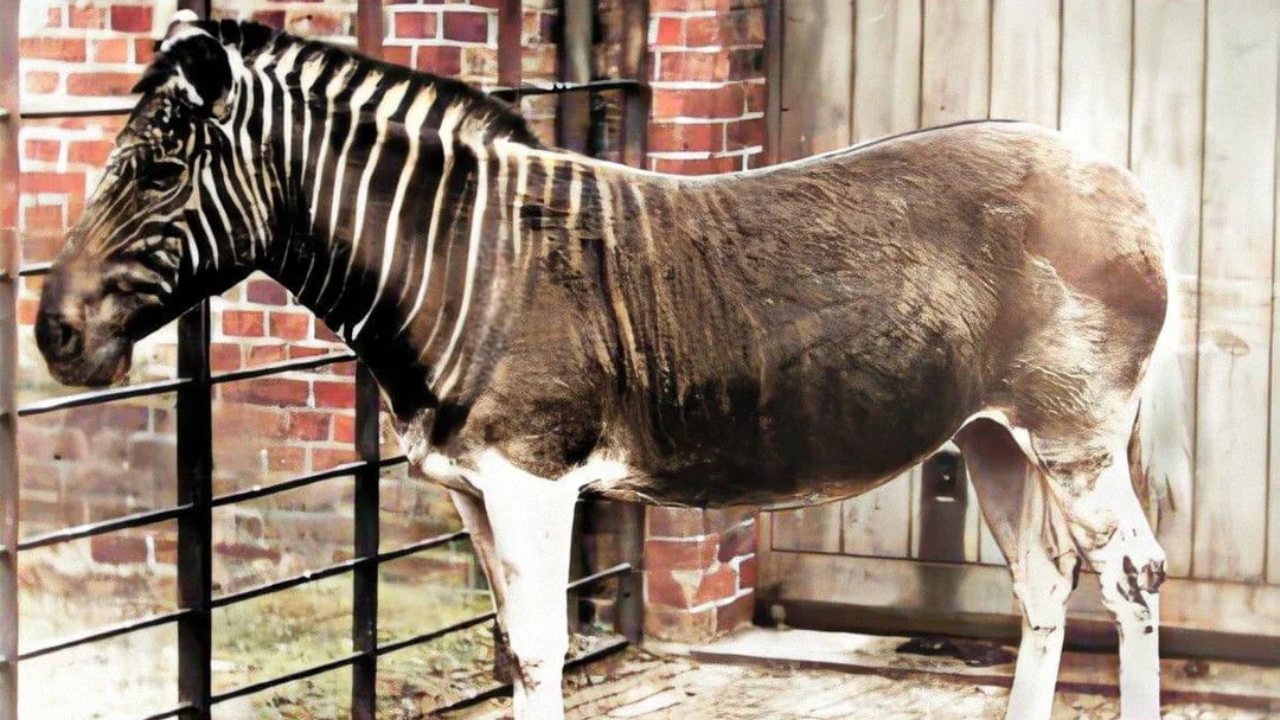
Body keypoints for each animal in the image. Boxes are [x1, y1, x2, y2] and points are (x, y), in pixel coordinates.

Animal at [35, 14, 1177, 720]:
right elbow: (509, 651)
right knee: (1043, 586)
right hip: (993, 437)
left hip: (1074, 432)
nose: (50, 335)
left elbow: (542, 653)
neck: (460, 264)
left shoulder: (533, 480)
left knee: (1131, 577)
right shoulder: (471, 490)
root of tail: (1120, 176)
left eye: (159, 171)